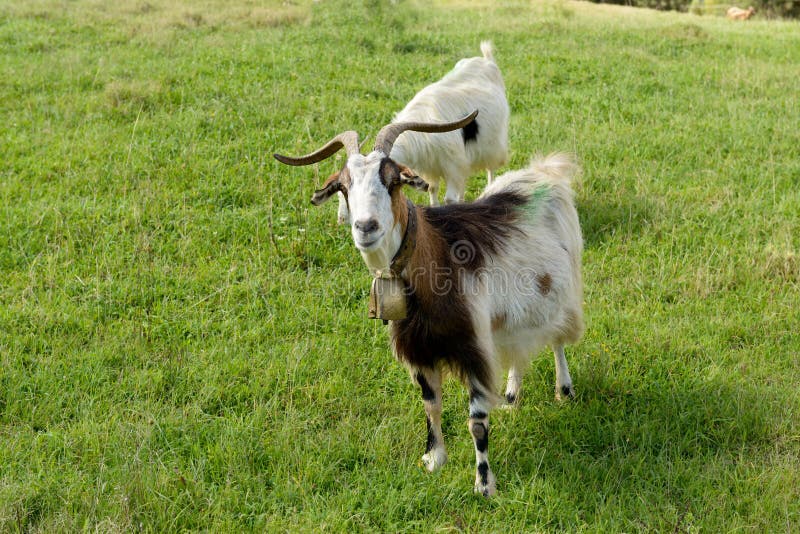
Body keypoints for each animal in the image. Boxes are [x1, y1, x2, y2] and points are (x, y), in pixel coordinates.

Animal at [274, 112, 584, 497]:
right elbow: (431, 406)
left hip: (562, 292)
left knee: (557, 339)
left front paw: (484, 484)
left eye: (393, 181)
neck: (436, 260)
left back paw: (564, 389)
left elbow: (476, 421)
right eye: (343, 187)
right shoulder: (420, 349)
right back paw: (512, 396)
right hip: (509, 318)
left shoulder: (472, 346)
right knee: (519, 347)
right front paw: (434, 459)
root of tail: (546, 171)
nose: (365, 226)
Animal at [336, 41, 509, 224]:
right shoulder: (432, 166)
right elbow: (433, 189)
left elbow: (450, 199)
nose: (341, 219)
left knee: (490, 168)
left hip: (493, 142)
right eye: (343, 187)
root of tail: (486, 60)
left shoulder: (452, 164)